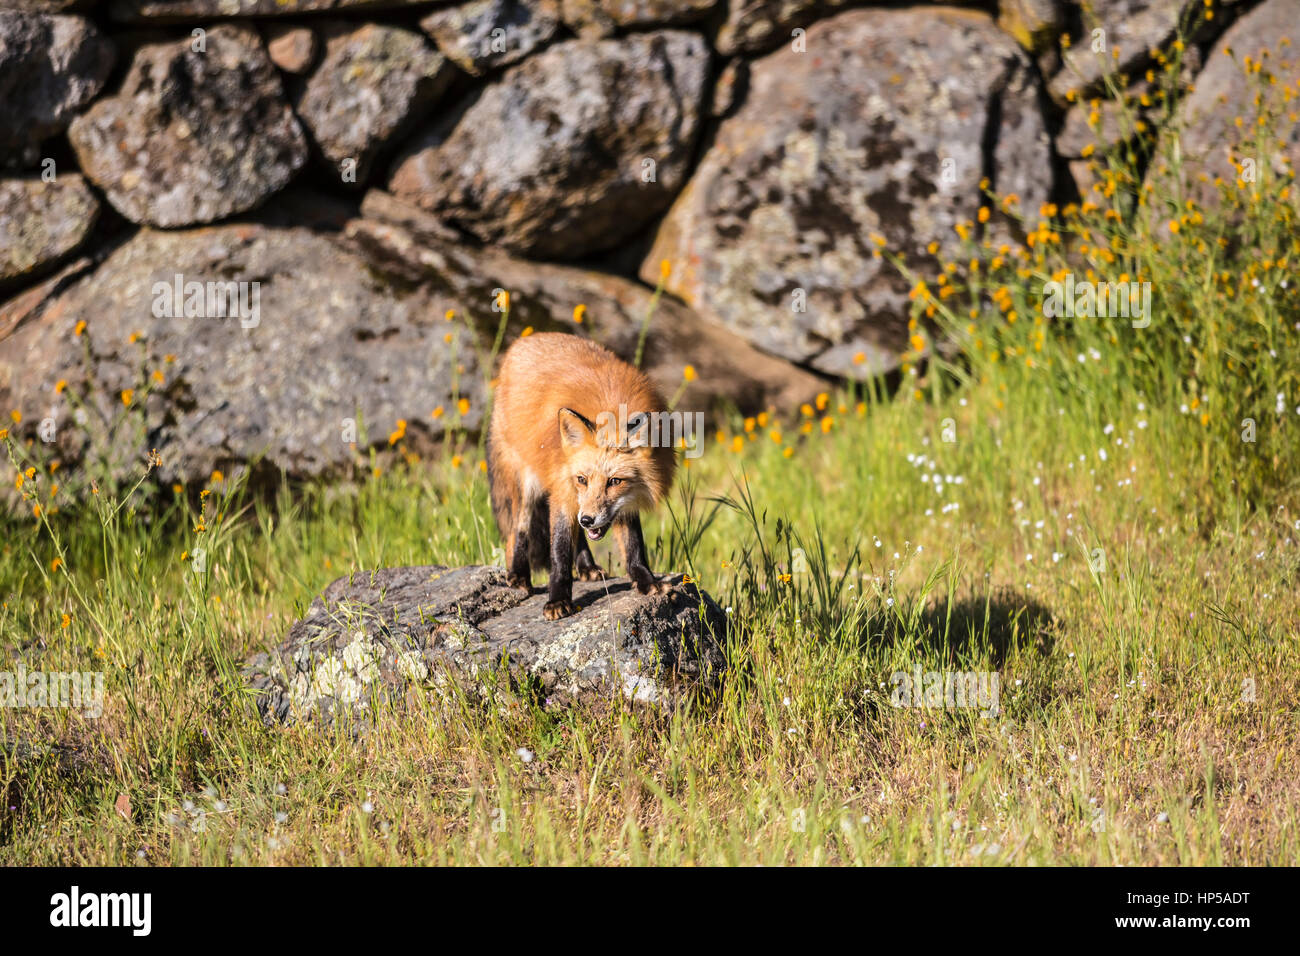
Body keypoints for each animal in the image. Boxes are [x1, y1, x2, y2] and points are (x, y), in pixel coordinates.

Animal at [486, 332, 677, 620]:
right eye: (582, 479)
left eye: (614, 481)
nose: (588, 520)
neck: (611, 408)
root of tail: (525, 340)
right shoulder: (563, 488)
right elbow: (559, 551)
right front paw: (557, 599)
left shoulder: (623, 501)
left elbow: (633, 543)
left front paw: (646, 581)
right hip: (526, 481)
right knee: (518, 528)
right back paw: (518, 575)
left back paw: (586, 566)